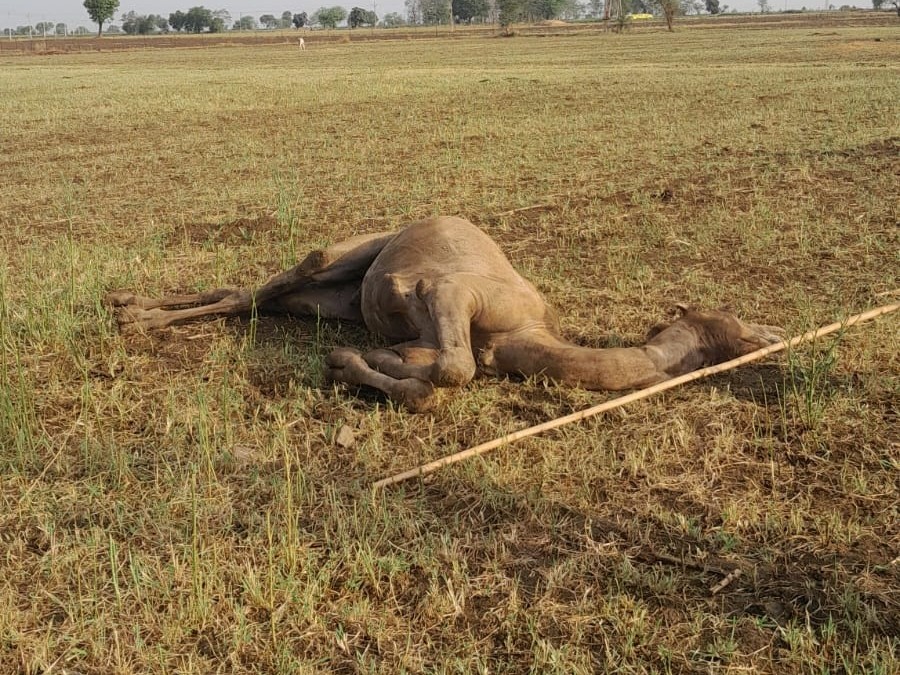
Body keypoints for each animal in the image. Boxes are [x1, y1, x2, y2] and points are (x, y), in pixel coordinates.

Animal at [107, 216, 783, 411]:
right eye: (733, 324)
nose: (774, 333)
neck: (524, 334)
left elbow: (433, 374)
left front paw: (373, 365)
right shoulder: (451, 291)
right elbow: (456, 370)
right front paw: (359, 366)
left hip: (340, 301)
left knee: (256, 297)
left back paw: (129, 306)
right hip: (349, 256)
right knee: (291, 271)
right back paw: (131, 315)